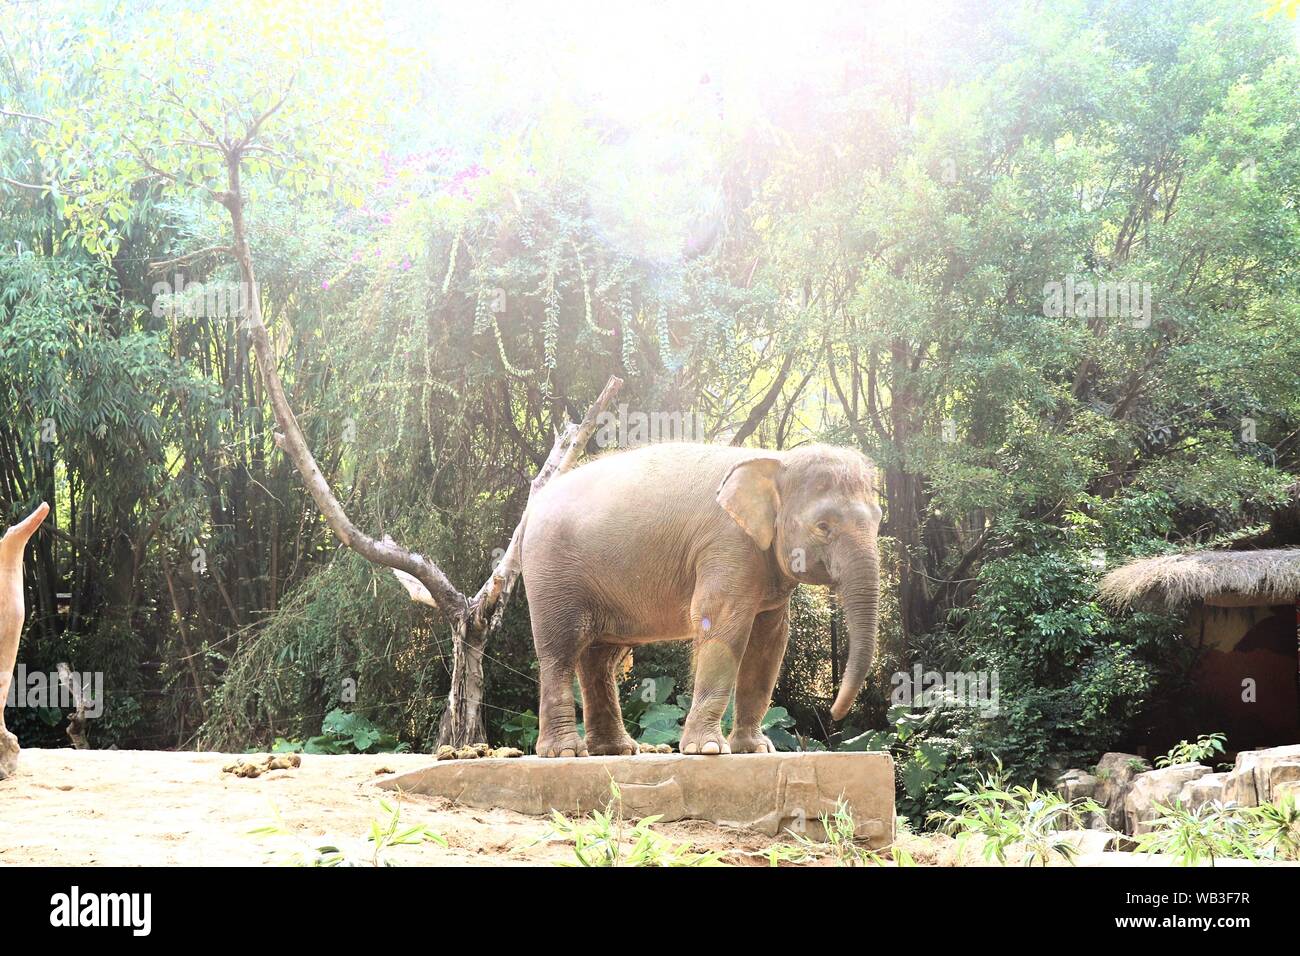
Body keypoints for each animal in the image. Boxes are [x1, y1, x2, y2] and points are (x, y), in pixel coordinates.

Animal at [520, 442, 881, 757]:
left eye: (878, 519)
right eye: (823, 526)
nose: (833, 714)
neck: (775, 459)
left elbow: (769, 643)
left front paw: (755, 749)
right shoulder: (726, 543)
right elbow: (722, 625)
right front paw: (707, 749)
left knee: (599, 658)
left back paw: (614, 750)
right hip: (550, 572)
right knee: (560, 650)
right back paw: (565, 752)